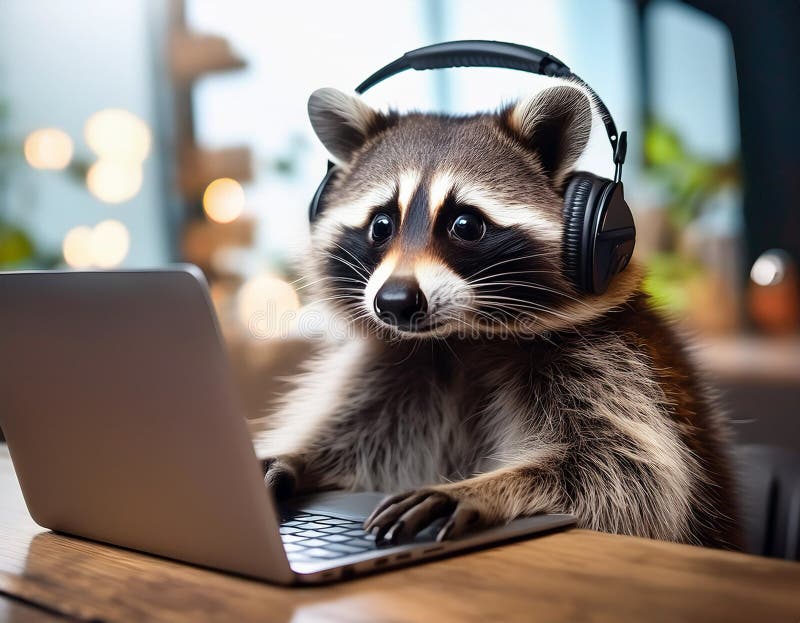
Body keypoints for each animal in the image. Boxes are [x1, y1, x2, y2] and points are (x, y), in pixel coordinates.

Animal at [252, 83, 741, 549]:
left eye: (465, 225)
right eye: (381, 226)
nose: (394, 302)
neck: (462, 338)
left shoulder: (609, 362)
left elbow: (623, 474)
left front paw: (483, 489)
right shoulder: (389, 371)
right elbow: (353, 442)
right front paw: (293, 458)